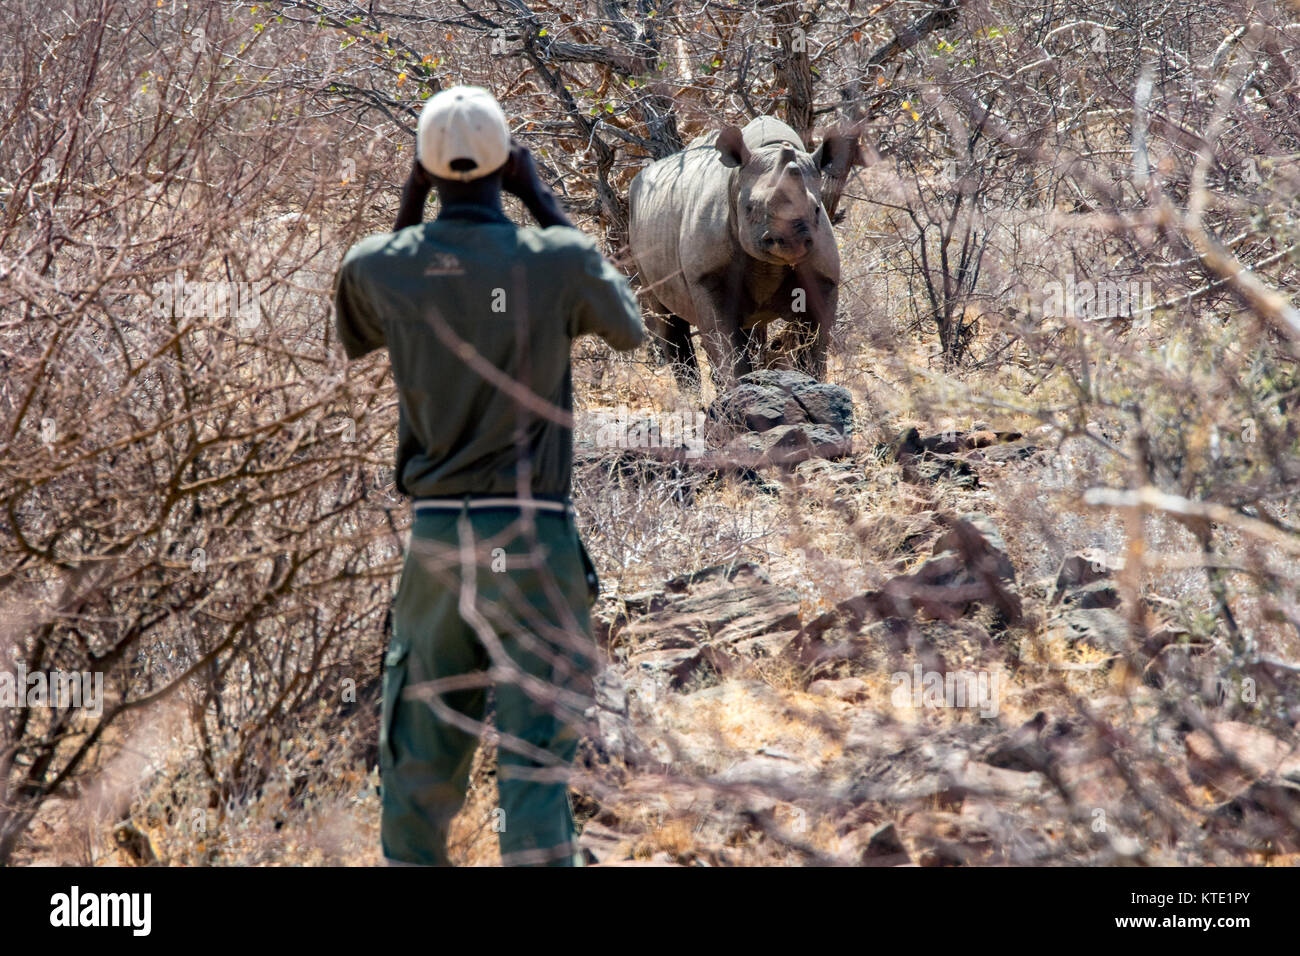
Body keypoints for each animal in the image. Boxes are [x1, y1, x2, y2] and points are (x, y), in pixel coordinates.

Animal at [628, 116, 859, 390]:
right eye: (749, 208)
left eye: (816, 209)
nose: (792, 242)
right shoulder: (707, 277)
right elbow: (726, 345)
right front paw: (742, 392)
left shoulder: (823, 278)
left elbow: (815, 345)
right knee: (668, 320)